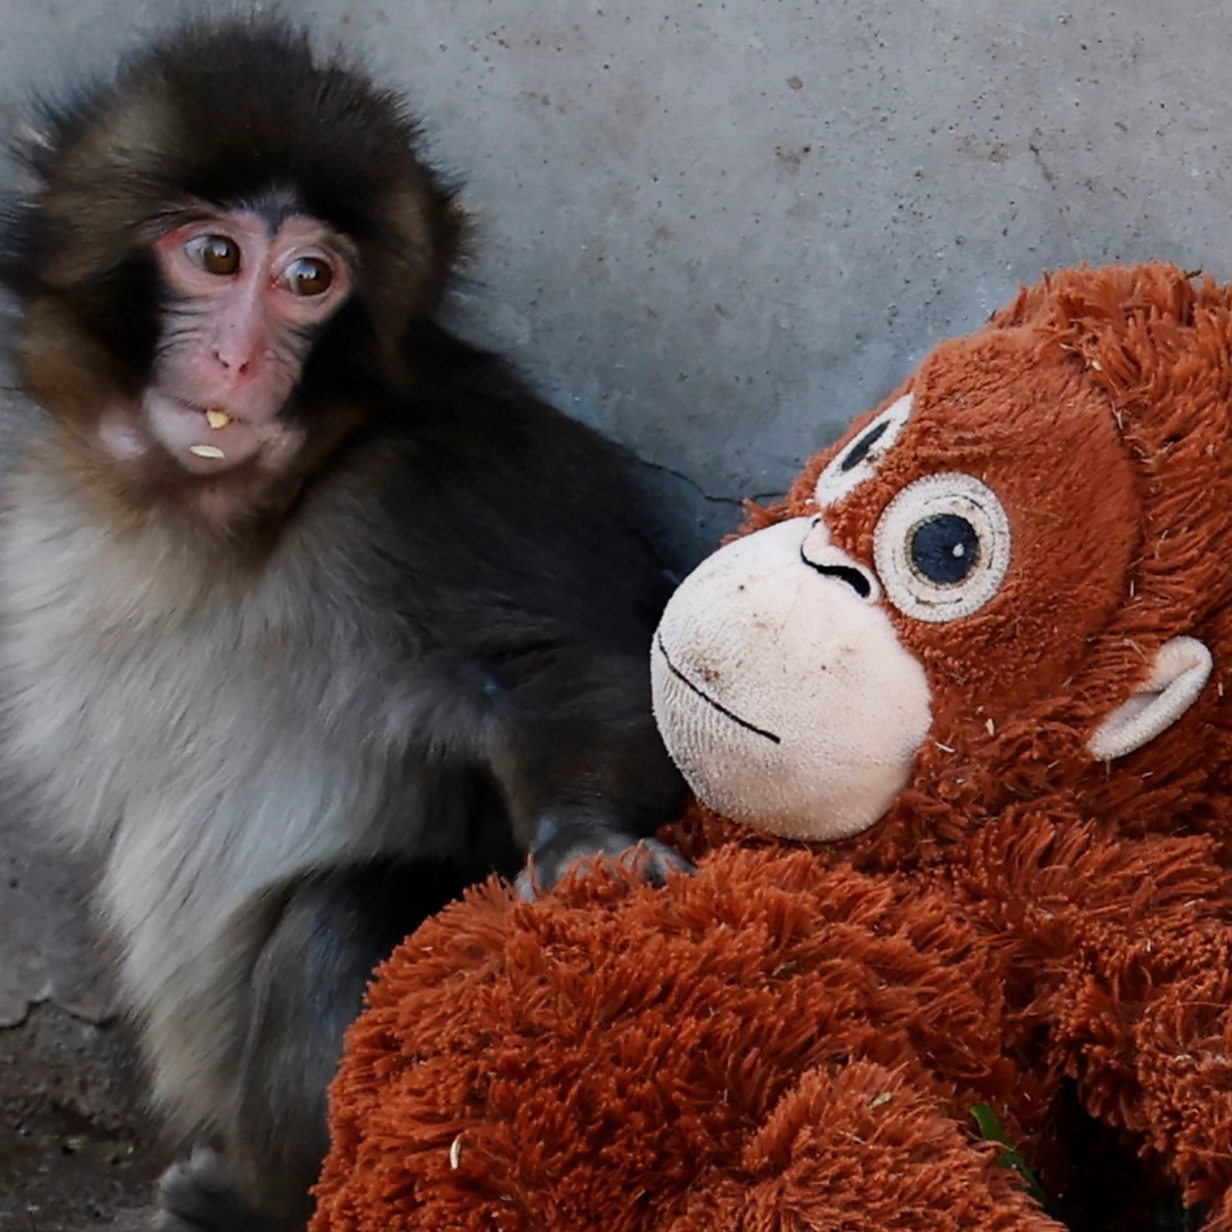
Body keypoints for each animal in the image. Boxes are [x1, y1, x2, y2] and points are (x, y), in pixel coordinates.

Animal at [0, 19, 688, 1231]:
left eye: (310, 280)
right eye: (214, 256)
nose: (238, 360)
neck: (231, 514)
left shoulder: (441, 484)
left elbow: (568, 665)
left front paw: (587, 847)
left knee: (342, 924)